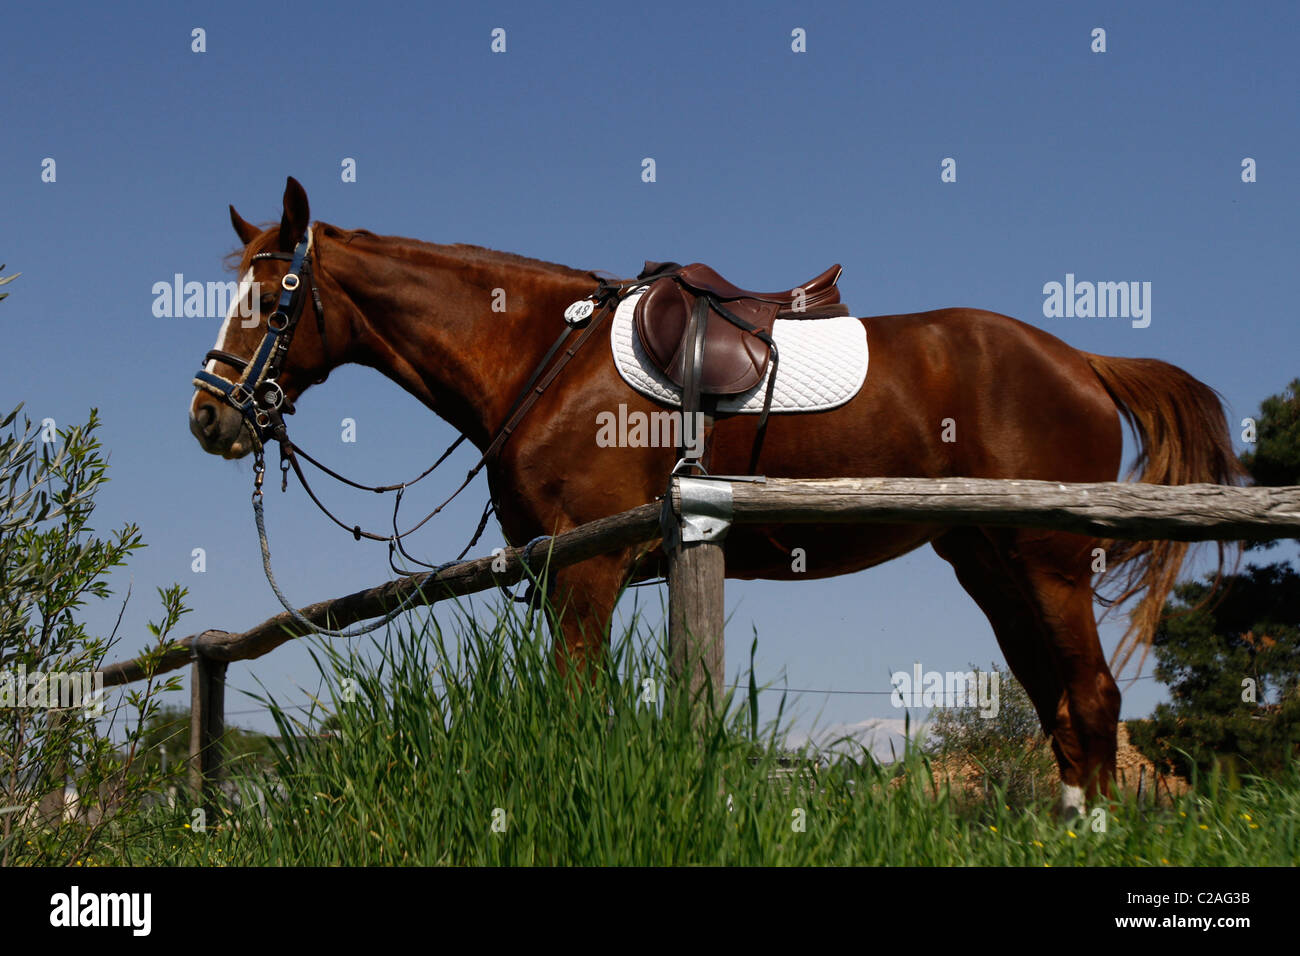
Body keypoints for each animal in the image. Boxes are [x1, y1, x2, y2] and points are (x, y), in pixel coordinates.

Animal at [188, 177, 1243, 813]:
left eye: (273, 299)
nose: (209, 416)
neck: (543, 356)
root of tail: (1082, 360)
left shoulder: (590, 571)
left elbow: (577, 711)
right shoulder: (564, 573)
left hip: (1048, 558)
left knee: (1093, 698)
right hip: (989, 562)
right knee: (1058, 704)